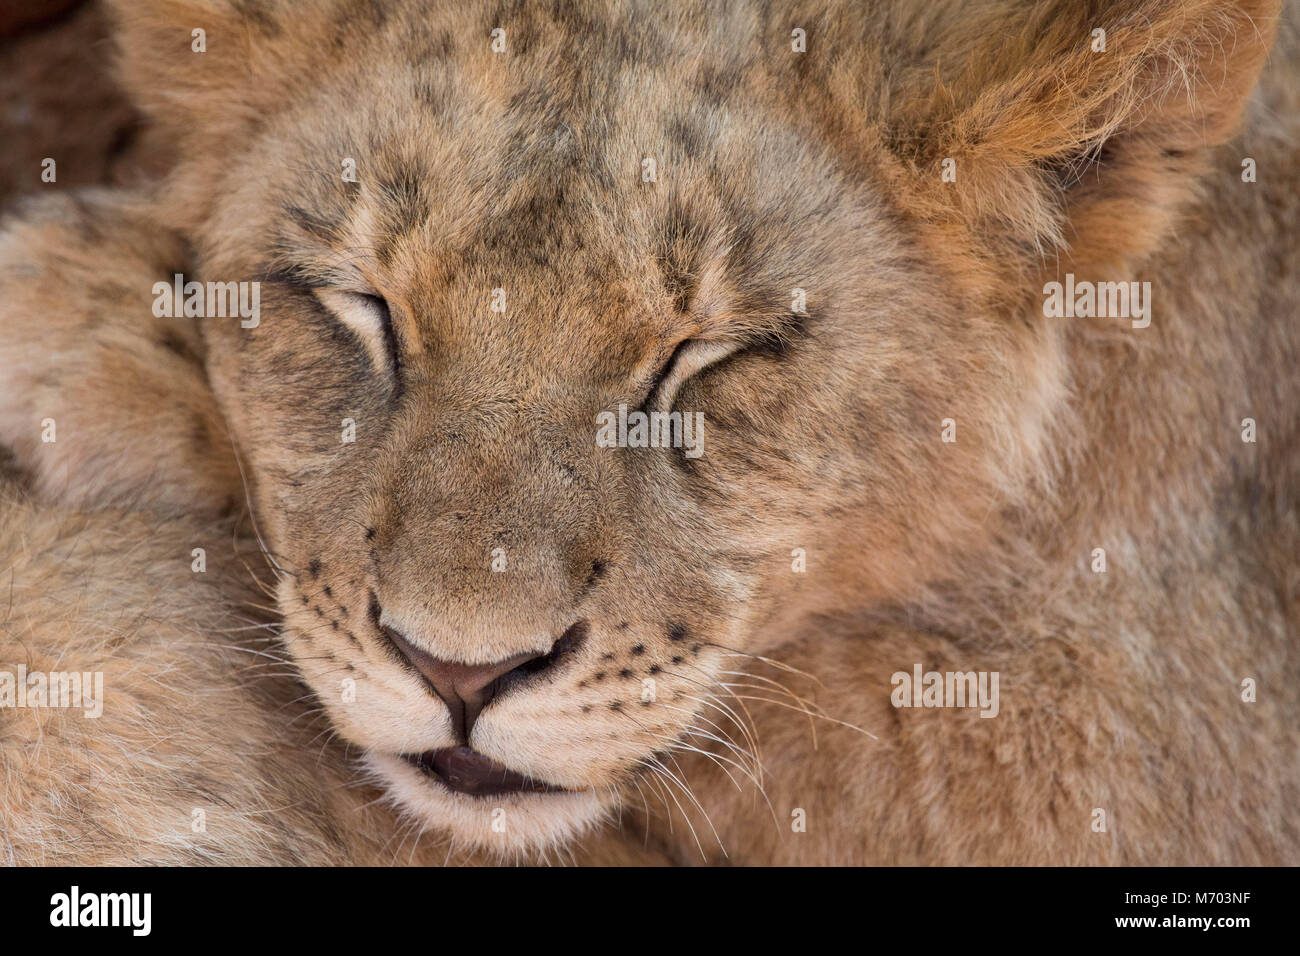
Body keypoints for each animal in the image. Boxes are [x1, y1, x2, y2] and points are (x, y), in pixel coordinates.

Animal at [2, 0, 1297, 864]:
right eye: (362, 306)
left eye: (711, 357)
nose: (459, 672)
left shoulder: (1146, 744)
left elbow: (776, 714)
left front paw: (75, 329)